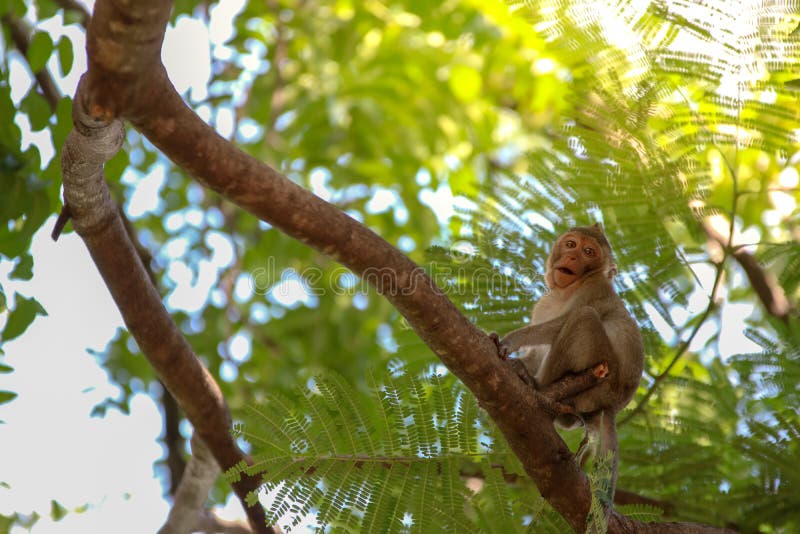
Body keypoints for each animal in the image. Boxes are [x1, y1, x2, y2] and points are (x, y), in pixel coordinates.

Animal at [493, 224, 644, 500]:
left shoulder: (594, 288)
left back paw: (535, 384)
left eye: (589, 251)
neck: (566, 292)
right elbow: (538, 350)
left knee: (583, 318)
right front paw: (517, 359)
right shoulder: (544, 304)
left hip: (604, 375)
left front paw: (511, 342)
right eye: (572, 245)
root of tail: (614, 404)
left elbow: (559, 325)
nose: (573, 257)